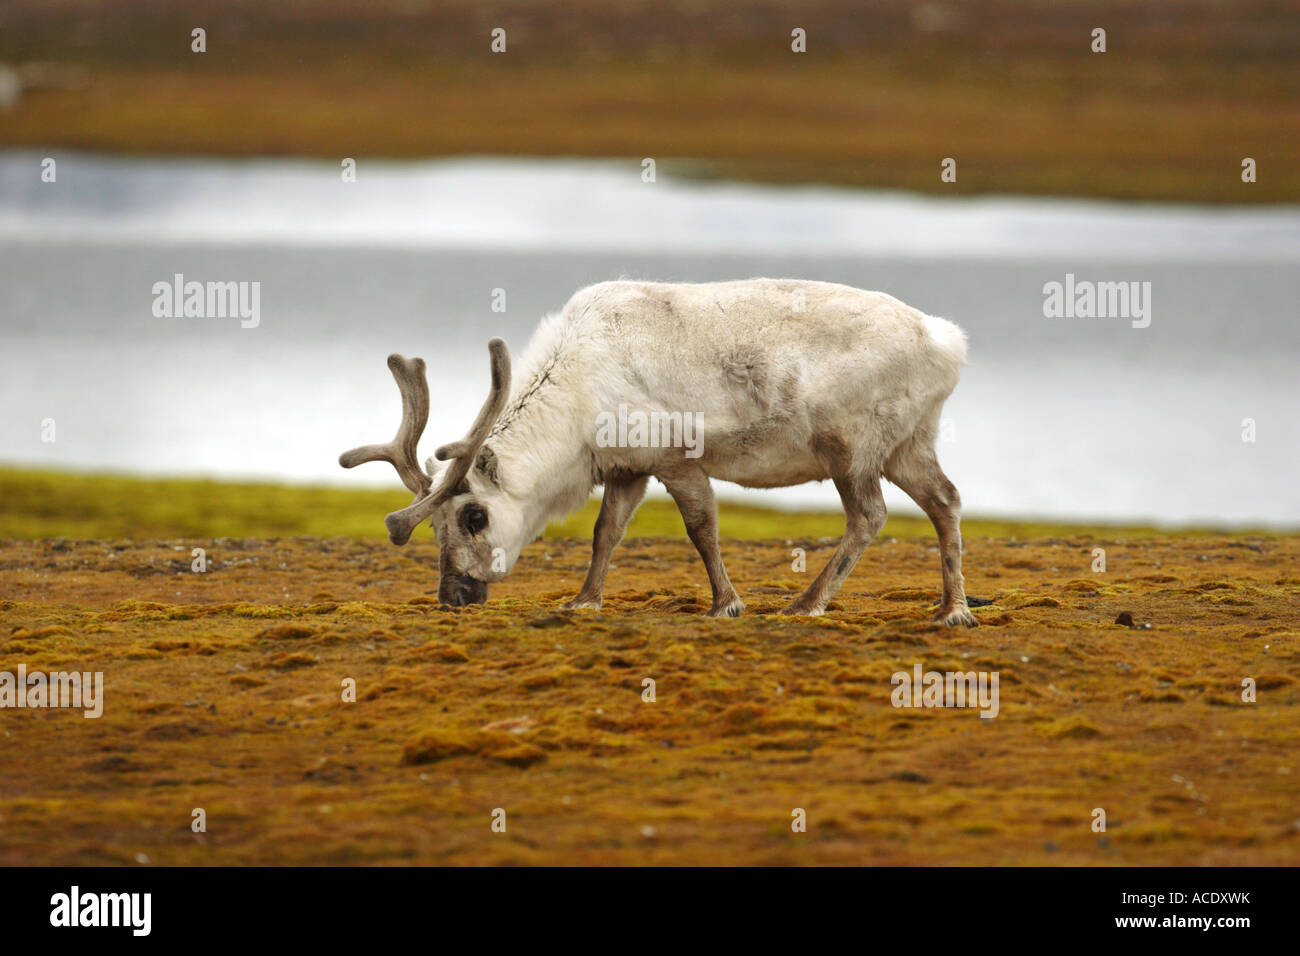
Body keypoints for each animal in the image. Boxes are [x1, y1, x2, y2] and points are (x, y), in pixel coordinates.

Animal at [339, 279, 976, 625]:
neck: (577, 401)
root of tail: (951, 343)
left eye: (474, 516)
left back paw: (806, 603)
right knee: (945, 500)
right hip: (910, 444)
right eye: (434, 526)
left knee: (869, 514)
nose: (454, 596)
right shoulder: (627, 469)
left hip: (850, 447)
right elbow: (606, 533)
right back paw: (952, 610)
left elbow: (702, 529)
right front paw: (584, 600)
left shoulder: (674, 457)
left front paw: (726, 604)